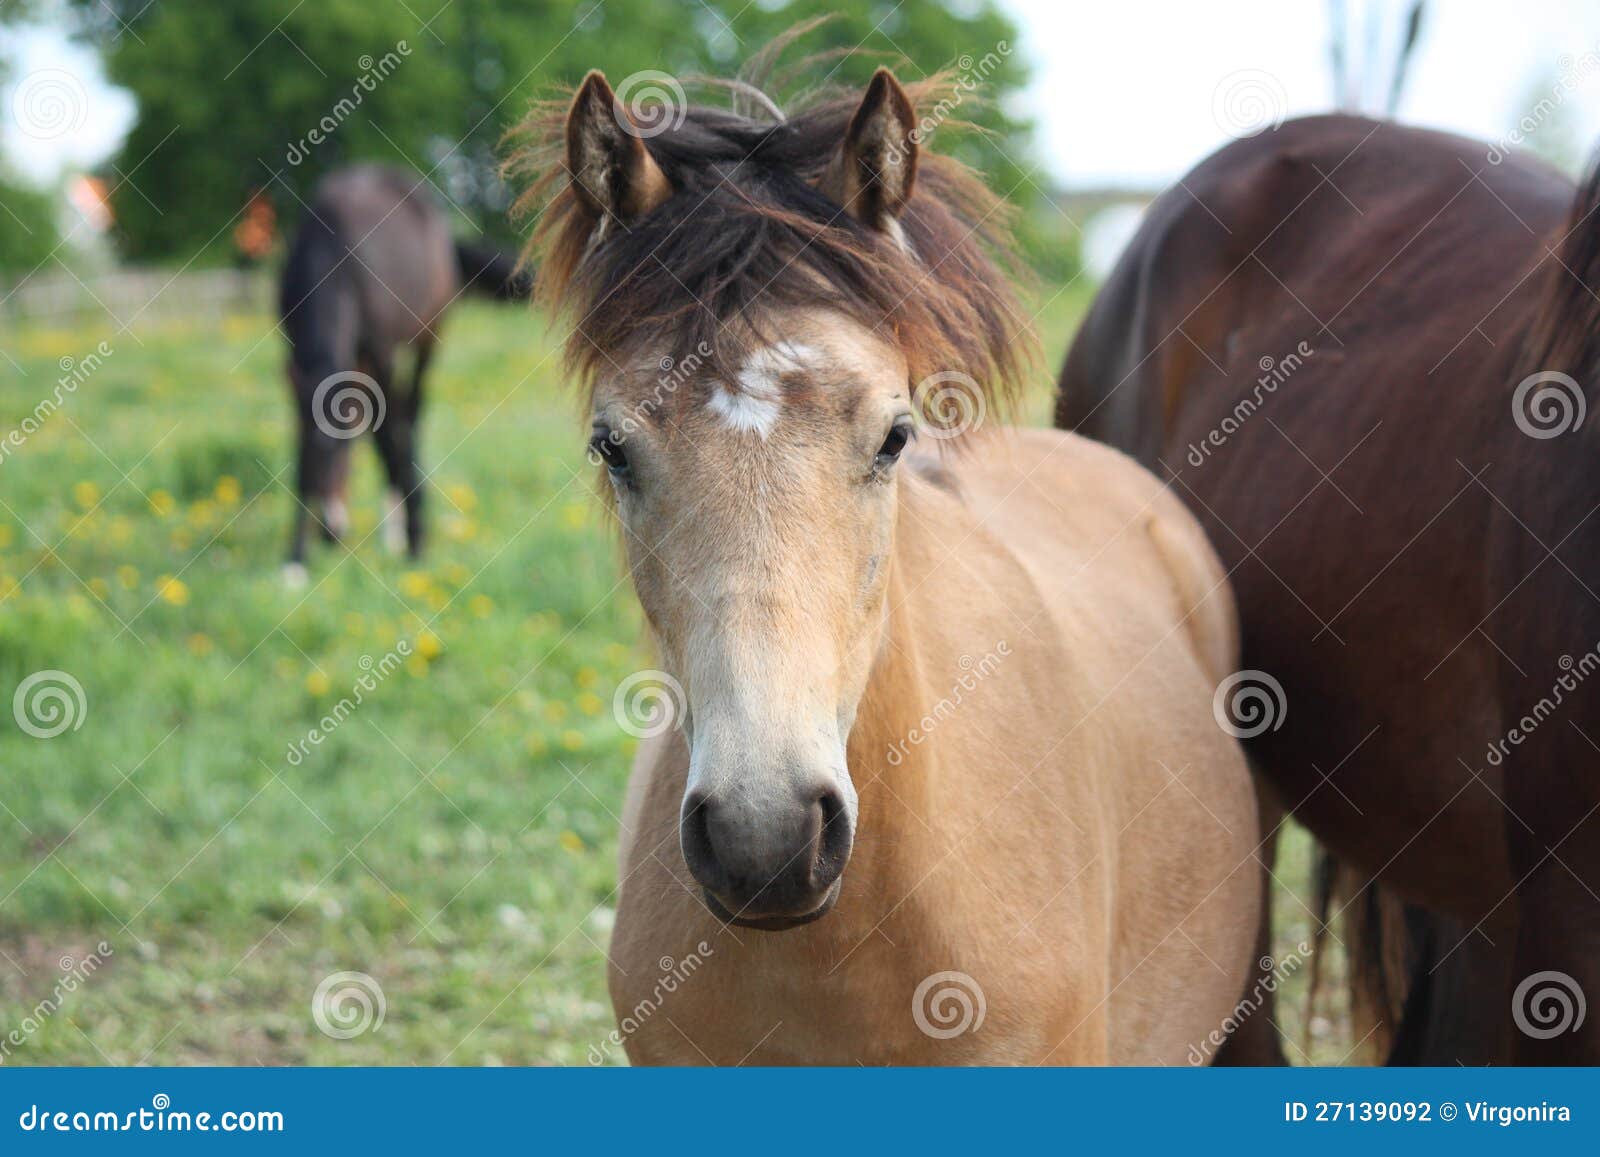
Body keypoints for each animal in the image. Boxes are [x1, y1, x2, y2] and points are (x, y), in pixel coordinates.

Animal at [278, 164, 527, 581]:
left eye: (343, 451)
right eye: (307, 461)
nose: (331, 532)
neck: (331, 256)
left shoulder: (384, 356)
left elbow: (391, 436)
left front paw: (415, 540)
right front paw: (294, 562)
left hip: (426, 340)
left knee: (408, 418)